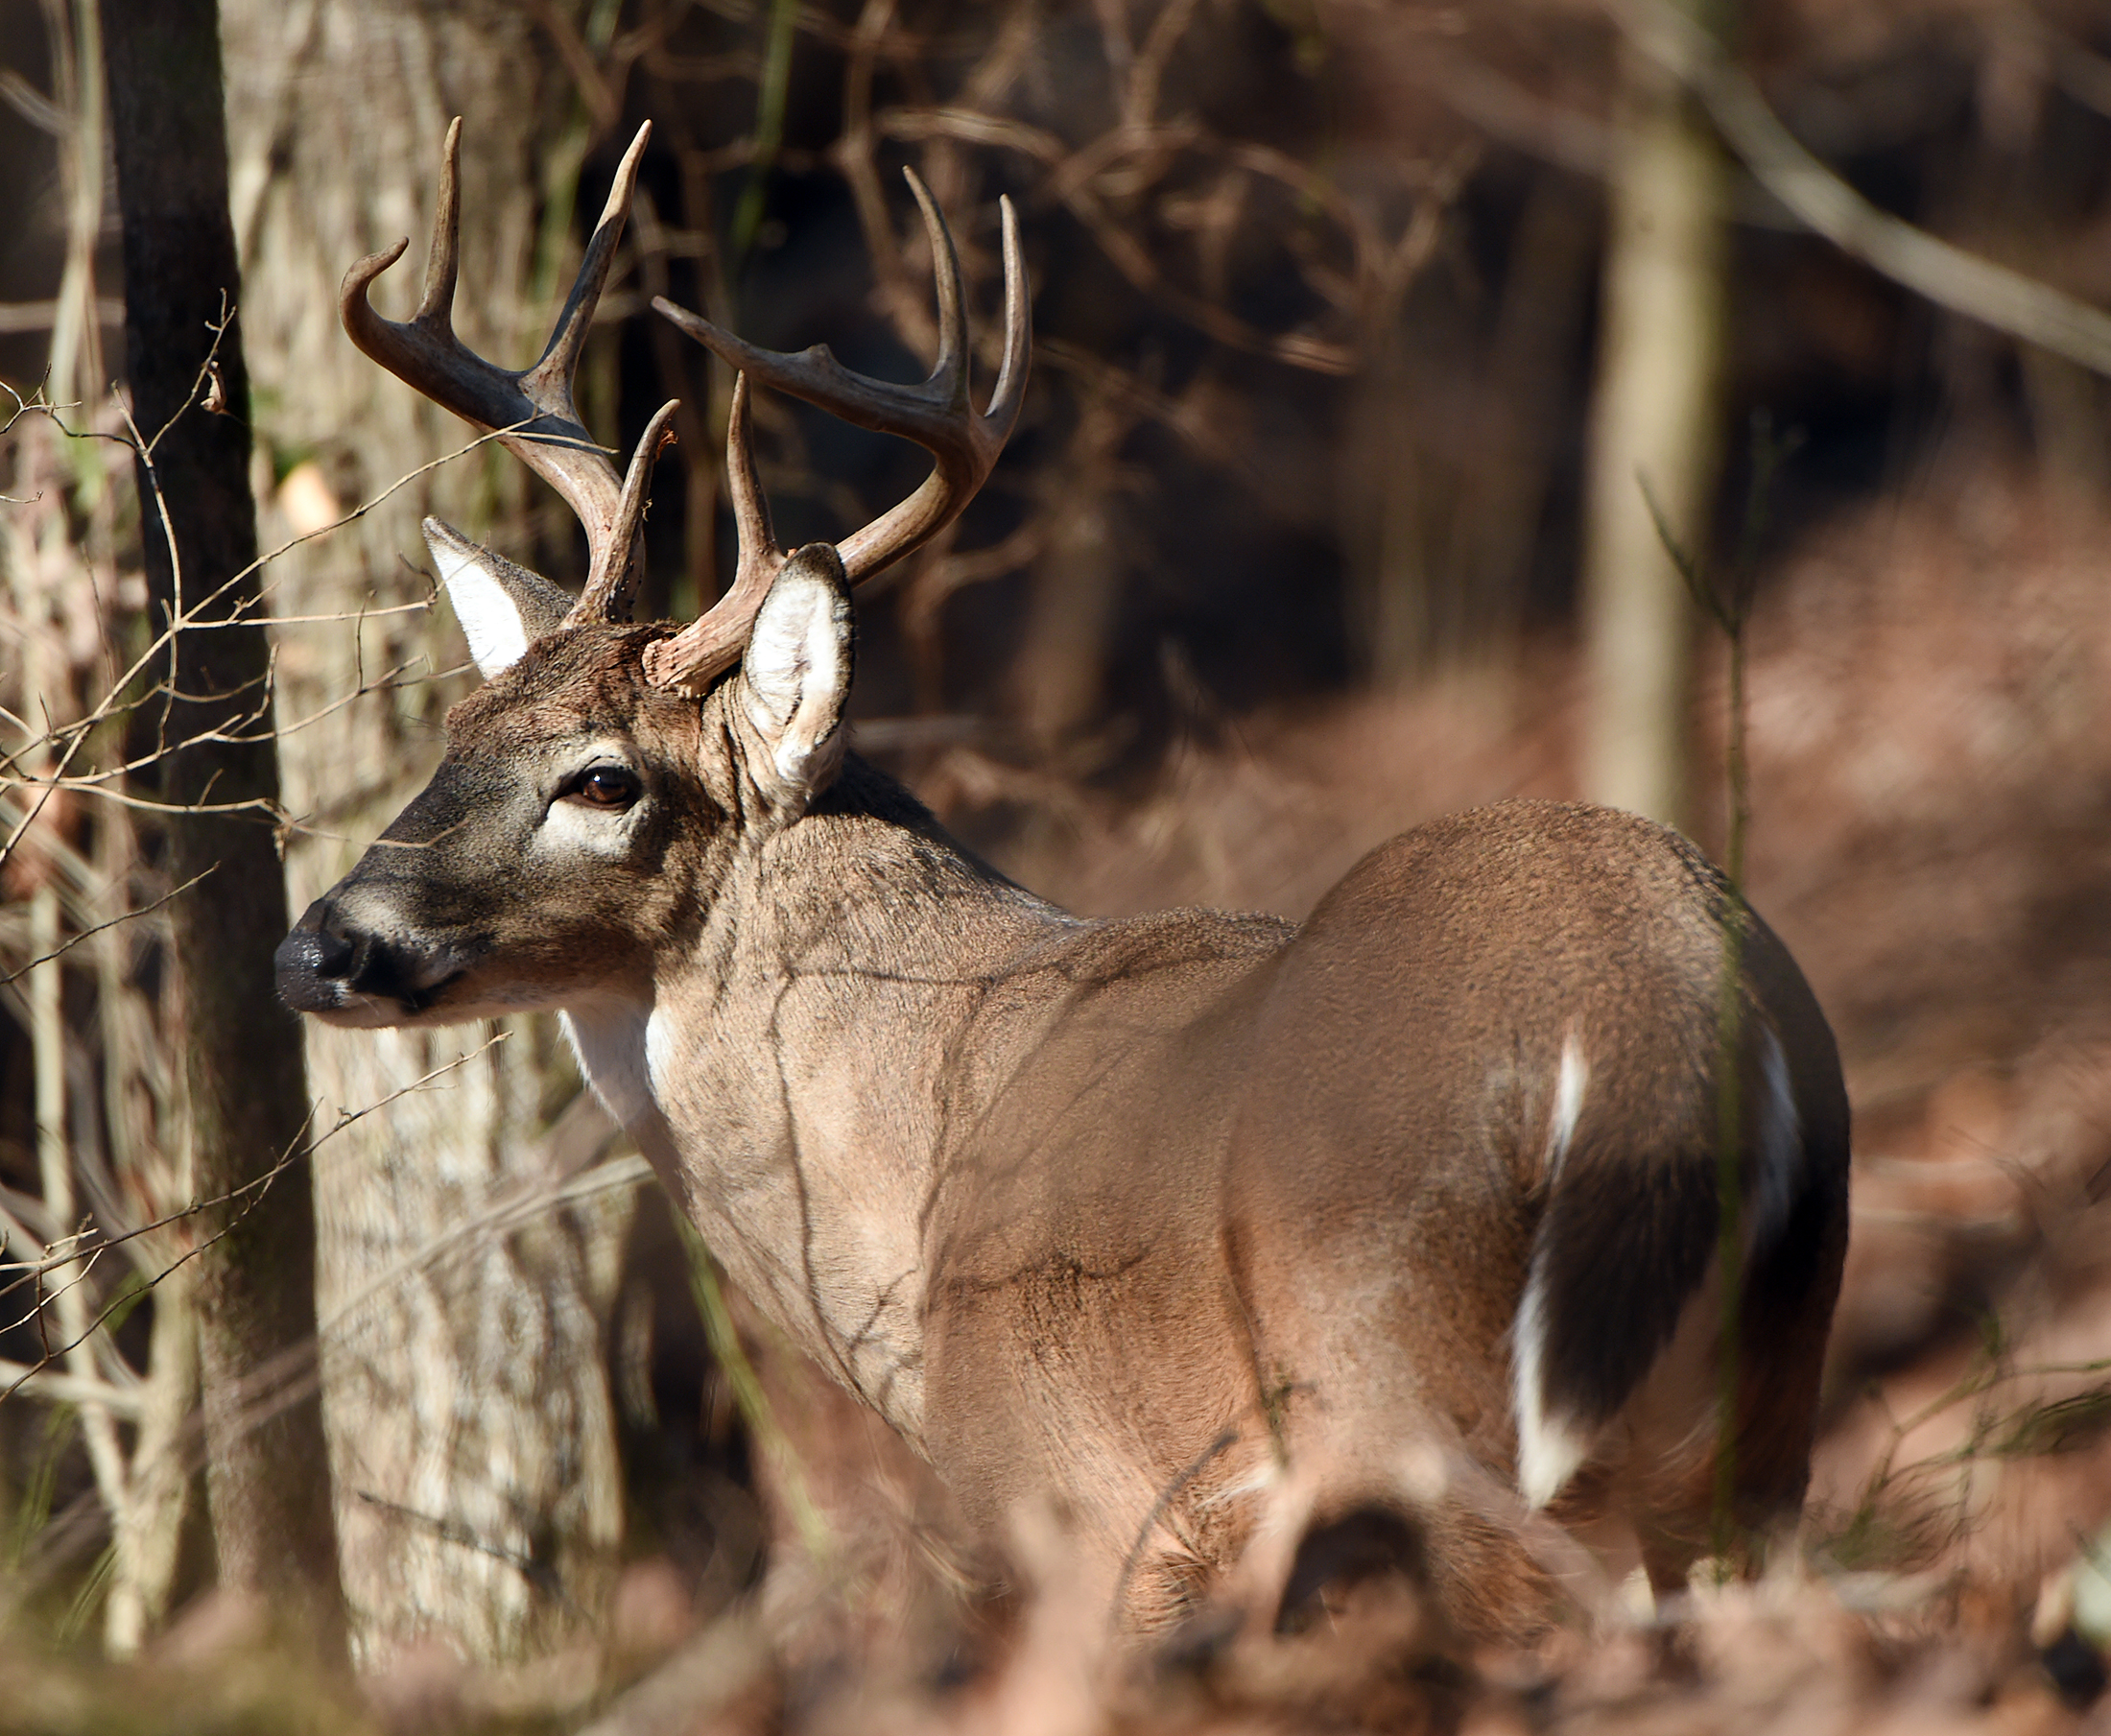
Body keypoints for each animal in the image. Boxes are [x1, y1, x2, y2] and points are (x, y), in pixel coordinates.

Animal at [275, 118, 1850, 1649]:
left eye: (603, 780)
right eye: (454, 736)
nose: (316, 948)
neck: (905, 1186)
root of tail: (1658, 1023)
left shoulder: (1080, 1503)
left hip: (1416, 1384)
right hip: (1754, 1428)